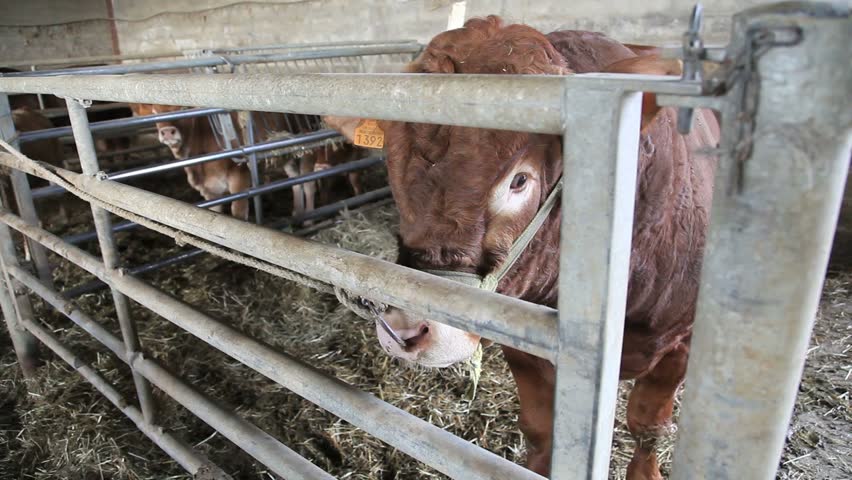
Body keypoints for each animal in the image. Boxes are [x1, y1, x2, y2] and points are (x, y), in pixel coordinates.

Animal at [333, 18, 720, 480]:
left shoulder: (682, 341)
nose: (406, 328)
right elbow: (539, 425)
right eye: (391, 168)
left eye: (519, 180)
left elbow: (647, 425)